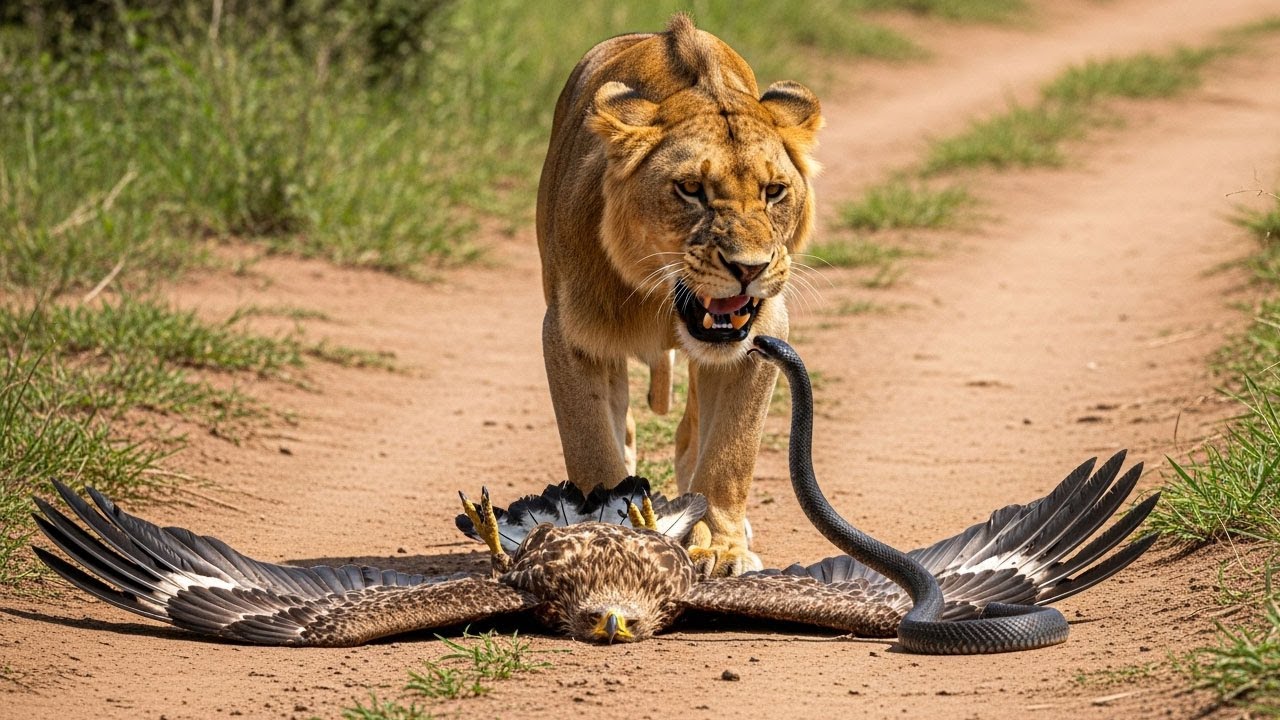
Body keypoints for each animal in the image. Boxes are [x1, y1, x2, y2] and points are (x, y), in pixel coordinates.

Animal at [536, 15, 822, 577]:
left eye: (774, 192)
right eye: (690, 189)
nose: (749, 268)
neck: (661, 301)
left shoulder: (761, 337)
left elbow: (730, 452)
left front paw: (720, 546)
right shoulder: (567, 332)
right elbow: (591, 446)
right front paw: (608, 535)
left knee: (692, 432)